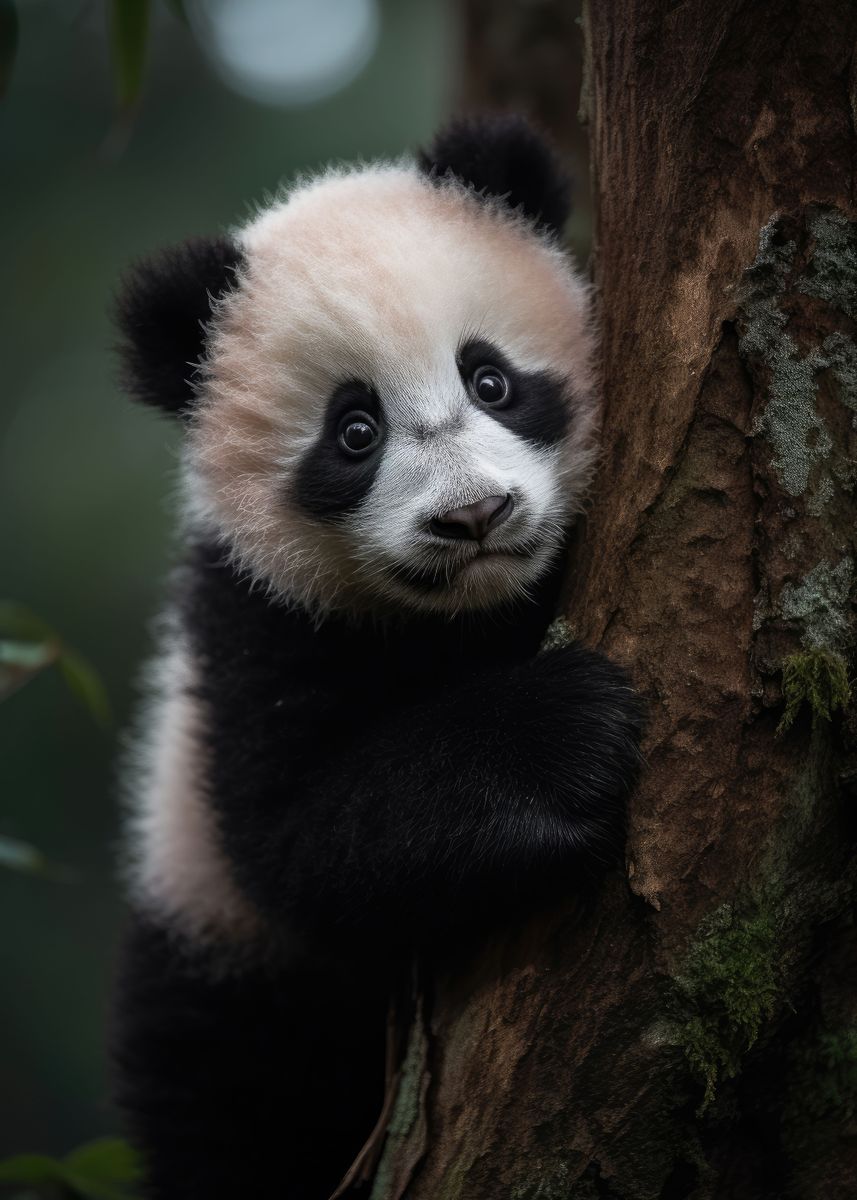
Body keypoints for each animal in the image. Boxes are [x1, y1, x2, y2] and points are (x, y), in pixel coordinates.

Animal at [111, 115, 642, 1200]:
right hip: (221, 962)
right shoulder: (257, 627)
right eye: (353, 432)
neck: (471, 615)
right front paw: (561, 738)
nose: (474, 517)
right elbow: (300, 834)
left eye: (489, 379)